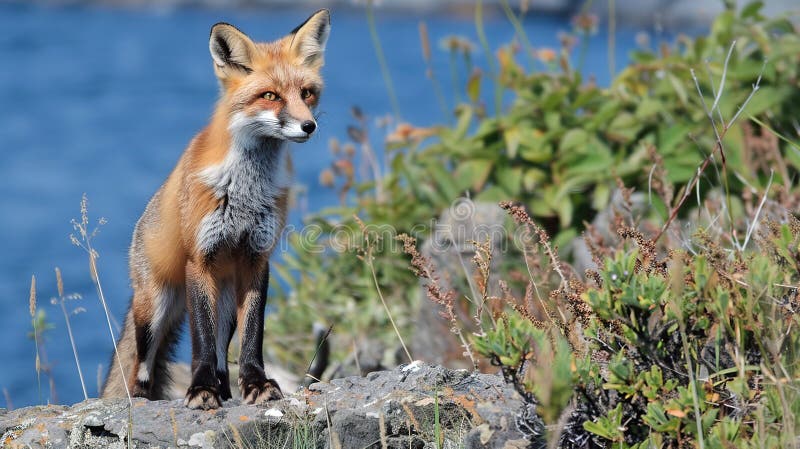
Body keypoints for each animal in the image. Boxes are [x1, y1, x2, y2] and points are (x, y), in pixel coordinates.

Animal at [100, 10, 331, 410]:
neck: (245, 191)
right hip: (155, 307)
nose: (309, 125)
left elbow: (253, 337)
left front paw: (256, 384)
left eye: (307, 93)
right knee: (143, 367)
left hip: (224, 304)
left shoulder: (257, 258)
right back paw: (147, 399)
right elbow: (202, 342)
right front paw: (201, 390)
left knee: (223, 356)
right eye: (269, 96)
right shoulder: (200, 258)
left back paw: (224, 389)